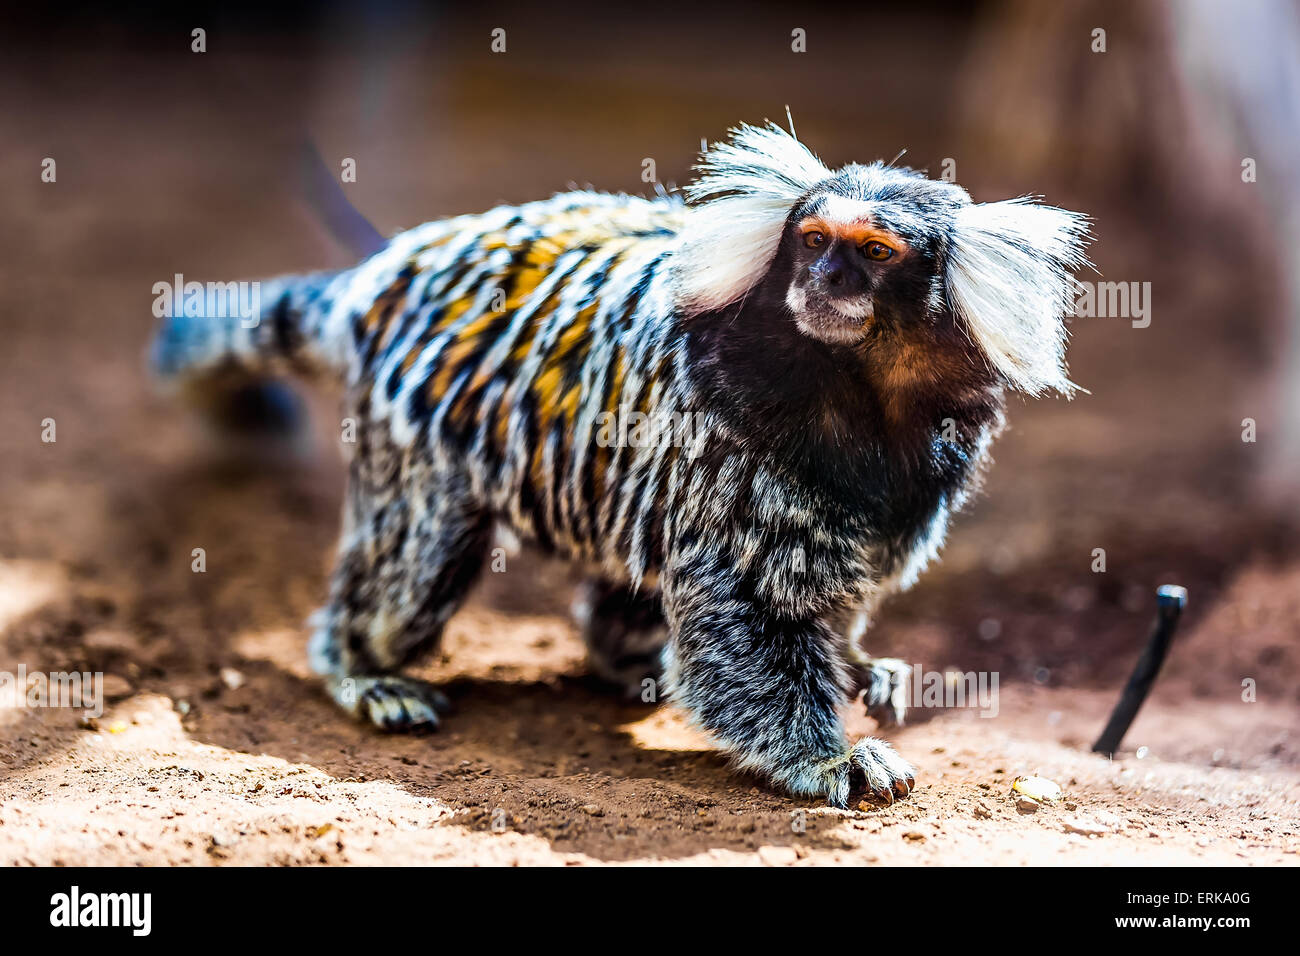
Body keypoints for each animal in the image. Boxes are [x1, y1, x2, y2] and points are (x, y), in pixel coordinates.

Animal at [151, 123, 1088, 807]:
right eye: (815, 238)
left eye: (877, 253)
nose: (825, 278)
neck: (859, 390)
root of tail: (390, 269)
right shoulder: (736, 439)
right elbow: (746, 606)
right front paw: (829, 757)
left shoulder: (917, 473)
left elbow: (843, 578)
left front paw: (857, 660)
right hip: (418, 438)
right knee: (417, 566)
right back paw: (361, 665)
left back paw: (634, 658)